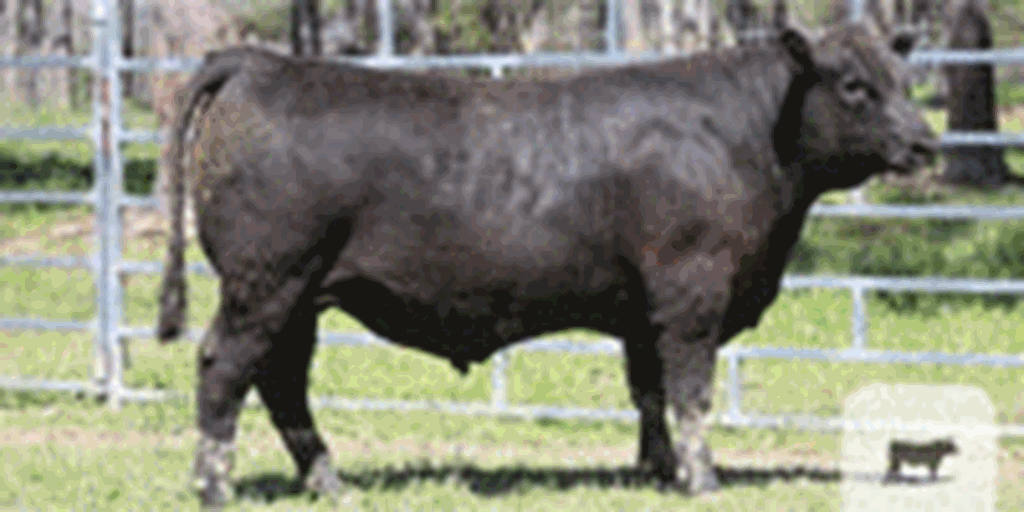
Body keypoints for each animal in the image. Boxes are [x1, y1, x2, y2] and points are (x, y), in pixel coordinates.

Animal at [155, 14, 937, 507]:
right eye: (854, 85)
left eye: (904, 79)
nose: (926, 143)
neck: (747, 136)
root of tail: (260, 61)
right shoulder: (692, 292)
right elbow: (689, 391)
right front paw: (703, 480)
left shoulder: (641, 306)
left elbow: (648, 390)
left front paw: (657, 472)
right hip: (265, 284)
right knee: (225, 369)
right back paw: (214, 486)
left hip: (301, 295)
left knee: (283, 382)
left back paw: (328, 482)